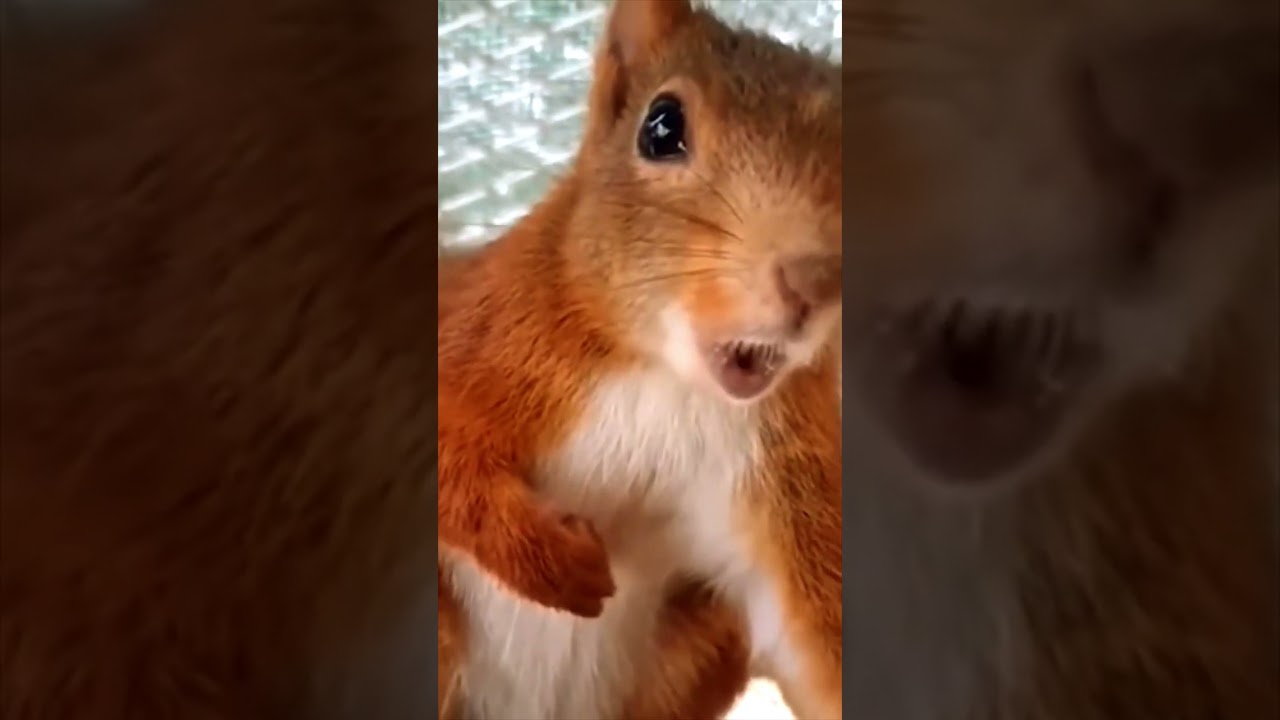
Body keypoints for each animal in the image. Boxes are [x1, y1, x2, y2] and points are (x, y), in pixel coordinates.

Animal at [436, 0, 842, 718]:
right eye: (661, 127)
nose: (814, 279)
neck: (671, 383)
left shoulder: (784, 477)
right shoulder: (473, 333)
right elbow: (444, 452)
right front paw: (546, 558)